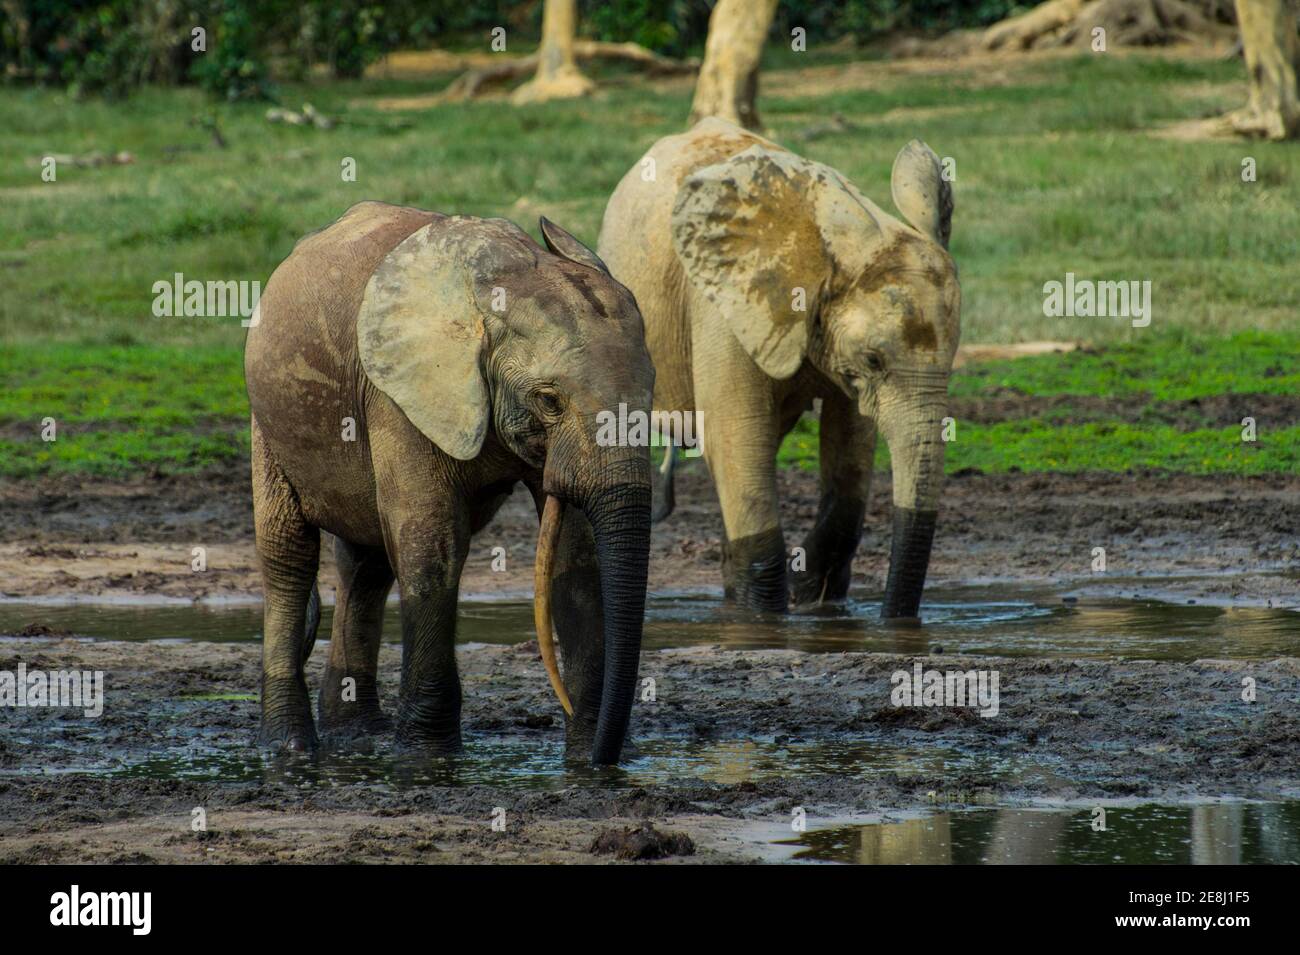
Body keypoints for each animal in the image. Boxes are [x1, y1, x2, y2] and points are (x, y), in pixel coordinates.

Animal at [244, 201, 654, 765]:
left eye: (652, 394)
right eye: (549, 400)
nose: (605, 758)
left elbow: (577, 554)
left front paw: (587, 759)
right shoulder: (397, 396)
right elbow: (431, 542)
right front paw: (427, 759)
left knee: (366, 564)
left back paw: (357, 736)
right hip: (267, 421)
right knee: (288, 557)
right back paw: (290, 749)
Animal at [597, 117, 959, 618]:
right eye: (873, 359)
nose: (896, 620)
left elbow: (850, 439)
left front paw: (814, 599)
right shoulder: (724, 308)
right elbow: (735, 433)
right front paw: (768, 616)